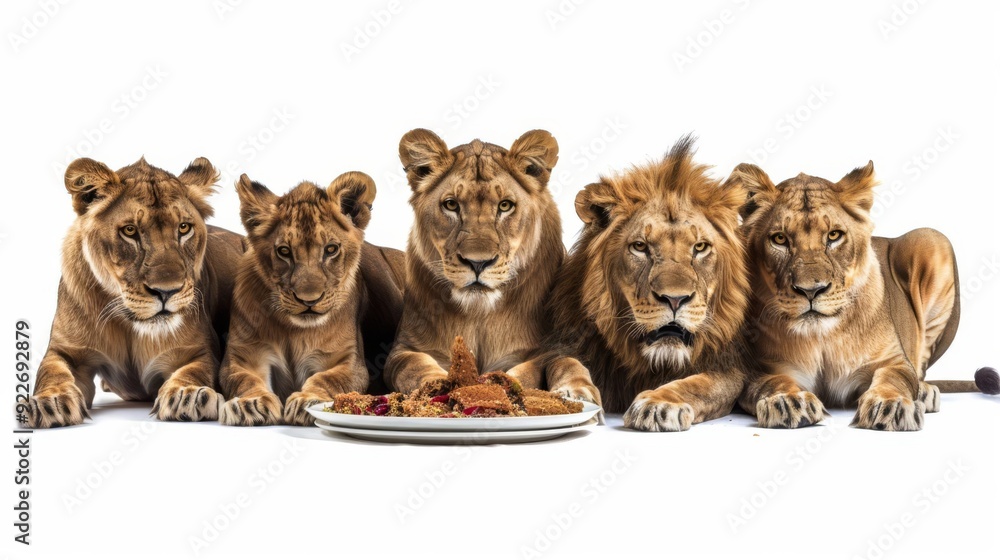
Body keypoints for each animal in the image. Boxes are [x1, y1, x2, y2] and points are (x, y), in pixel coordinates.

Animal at [27, 157, 244, 428]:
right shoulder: (65, 351)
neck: (130, 328)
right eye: (130, 231)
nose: (166, 291)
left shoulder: (200, 349)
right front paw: (50, 401)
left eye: (184, 228)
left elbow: (196, 370)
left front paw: (188, 395)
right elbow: (52, 372)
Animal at [218, 172, 405, 426]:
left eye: (331, 249)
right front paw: (250, 403)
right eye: (284, 251)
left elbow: (327, 379)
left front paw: (308, 401)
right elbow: (244, 380)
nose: (309, 300)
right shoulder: (242, 357)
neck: (294, 332)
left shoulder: (348, 362)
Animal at [383, 129, 599, 403]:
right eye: (451, 204)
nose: (478, 262)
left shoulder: (553, 346)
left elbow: (550, 363)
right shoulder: (404, 348)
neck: (479, 315)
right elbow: (412, 364)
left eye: (505, 205)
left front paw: (575, 391)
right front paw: (436, 384)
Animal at [547, 136, 750, 431]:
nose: (675, 299)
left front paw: (660, 403)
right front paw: (573, 395)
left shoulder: (729, 368)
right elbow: (564, 362)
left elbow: (698, 385)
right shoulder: (565, 343)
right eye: (640, 247)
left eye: (700, 247)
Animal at [734, 161, 995, 431]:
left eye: (834, 235)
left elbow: (895, 377)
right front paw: (788, 401)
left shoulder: (893, 360)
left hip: (930, 238)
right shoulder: (757, 369)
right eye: (779, 239)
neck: (822, 338)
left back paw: (924, 392)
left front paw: (891, 406)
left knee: (920, 369)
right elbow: (771, 381)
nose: (811, 290)